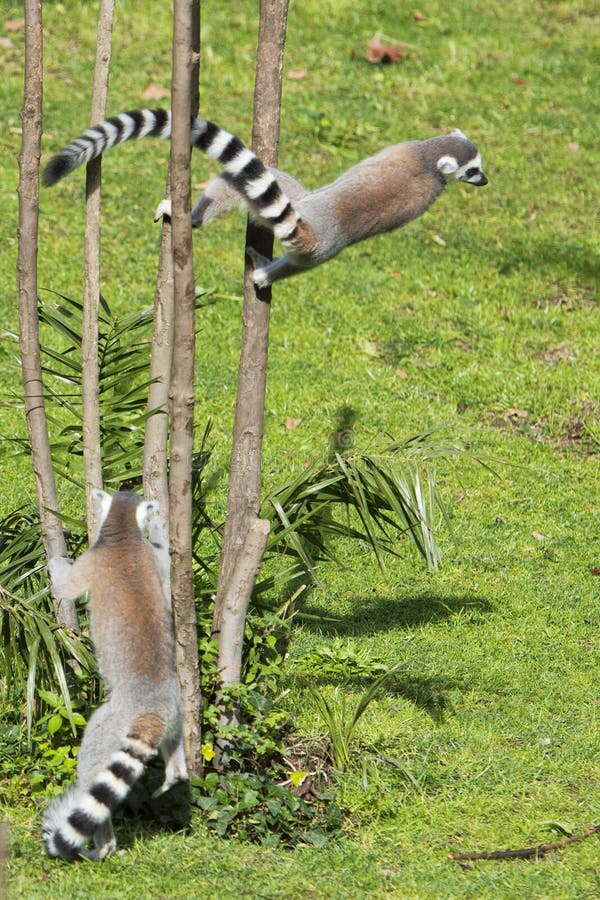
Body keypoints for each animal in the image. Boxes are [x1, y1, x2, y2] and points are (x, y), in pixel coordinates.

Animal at [42, 490, 188, 862]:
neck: (124, 536)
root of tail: (153, 708)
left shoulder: (92, 563)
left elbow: (66, 587)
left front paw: (55, 560)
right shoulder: (154, 561)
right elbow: (166, 575)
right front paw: (161, 530)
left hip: (109, 724)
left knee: (91, 764)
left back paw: (101, 847)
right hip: (177, 710)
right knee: (175, 747)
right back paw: (174, 773)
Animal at [43, 108, 487, 288]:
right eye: (474, 169)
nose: (484, 182)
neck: (429, 160)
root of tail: (312, 229)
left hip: (303, 227)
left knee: (246, 182)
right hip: (314, 245)